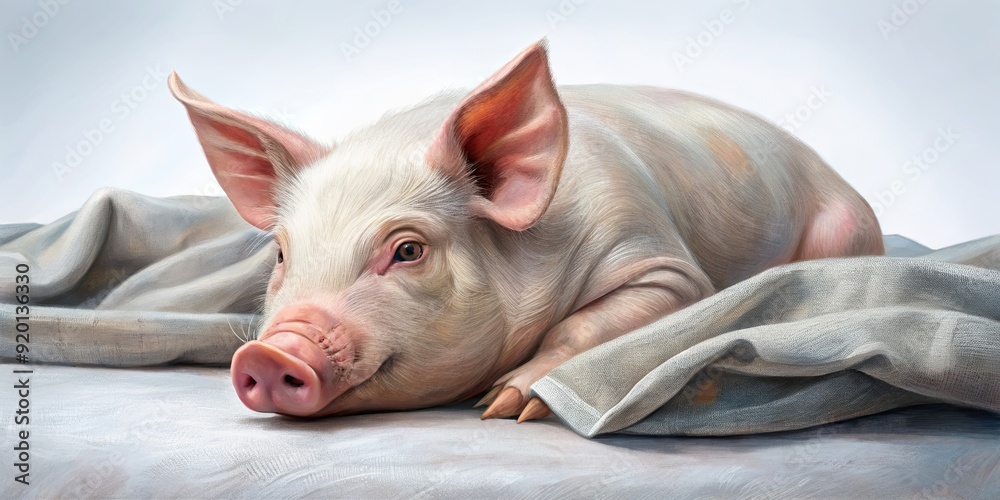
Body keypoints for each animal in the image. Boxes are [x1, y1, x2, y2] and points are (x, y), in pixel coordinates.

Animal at [168, 41, 883, 423]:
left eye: (407, 250)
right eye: (282, 253)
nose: (270, 354)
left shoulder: (664, 265)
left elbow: (585, 324)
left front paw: (505, 406)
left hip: (846, 232)